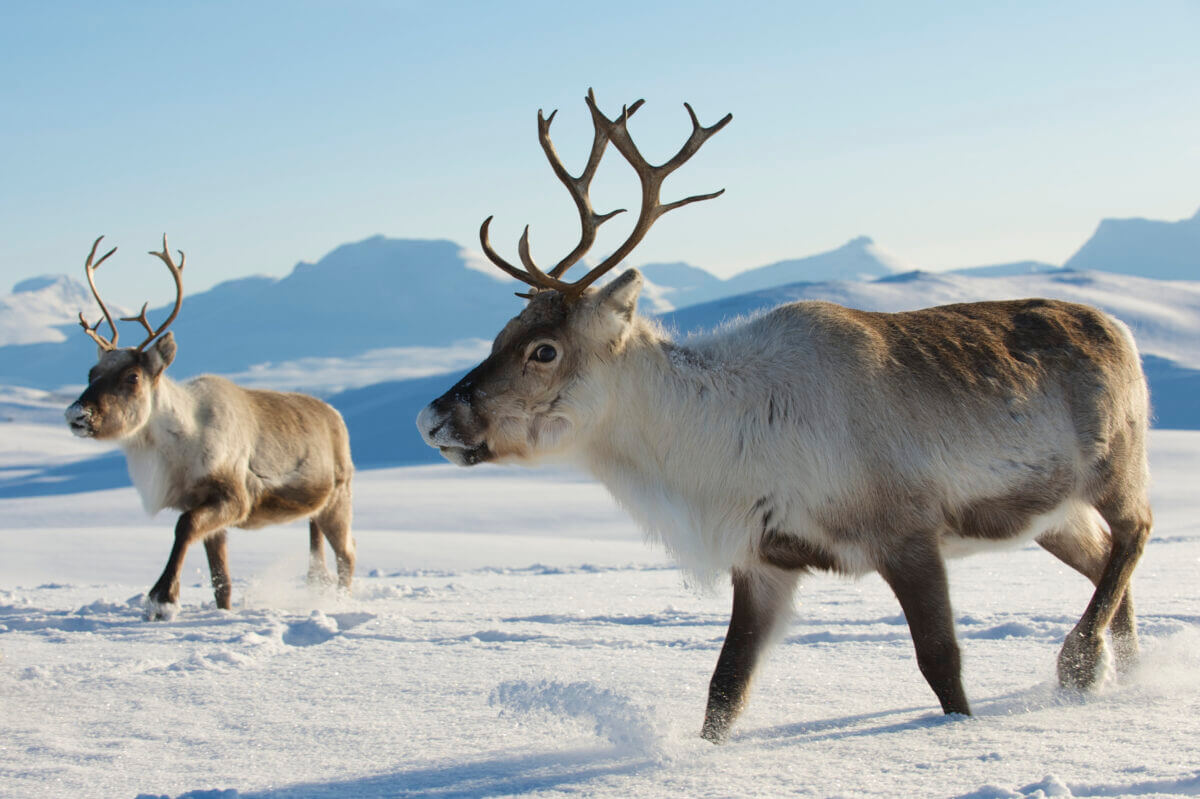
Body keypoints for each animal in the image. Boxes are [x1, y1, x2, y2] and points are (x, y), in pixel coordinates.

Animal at [65, 235, 356, 620]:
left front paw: (162, 599)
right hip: (317, 510)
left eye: (133, 376)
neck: (180, 444)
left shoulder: (234, 498)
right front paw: (219, 611)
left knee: (348, 555)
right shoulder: (204, 506)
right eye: (91, 373)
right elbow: (222, 580)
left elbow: (184, 527)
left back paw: (340, 604)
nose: (77, 414)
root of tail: (336, 416)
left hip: (339, 498)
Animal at [416, 90, 1153, 743]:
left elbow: (942, 664)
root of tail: (1120, 327)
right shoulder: (765, 560)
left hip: (1114, 466)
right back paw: (1126, 674)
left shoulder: (906, 531)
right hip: (1051, 515)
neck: (717, 442)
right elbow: (725, 690)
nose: (432, 416)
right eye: (500, 333)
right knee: (1104, 564)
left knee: (1134, 533)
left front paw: (961, 735)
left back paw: (1081, 662)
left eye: (543, 349)